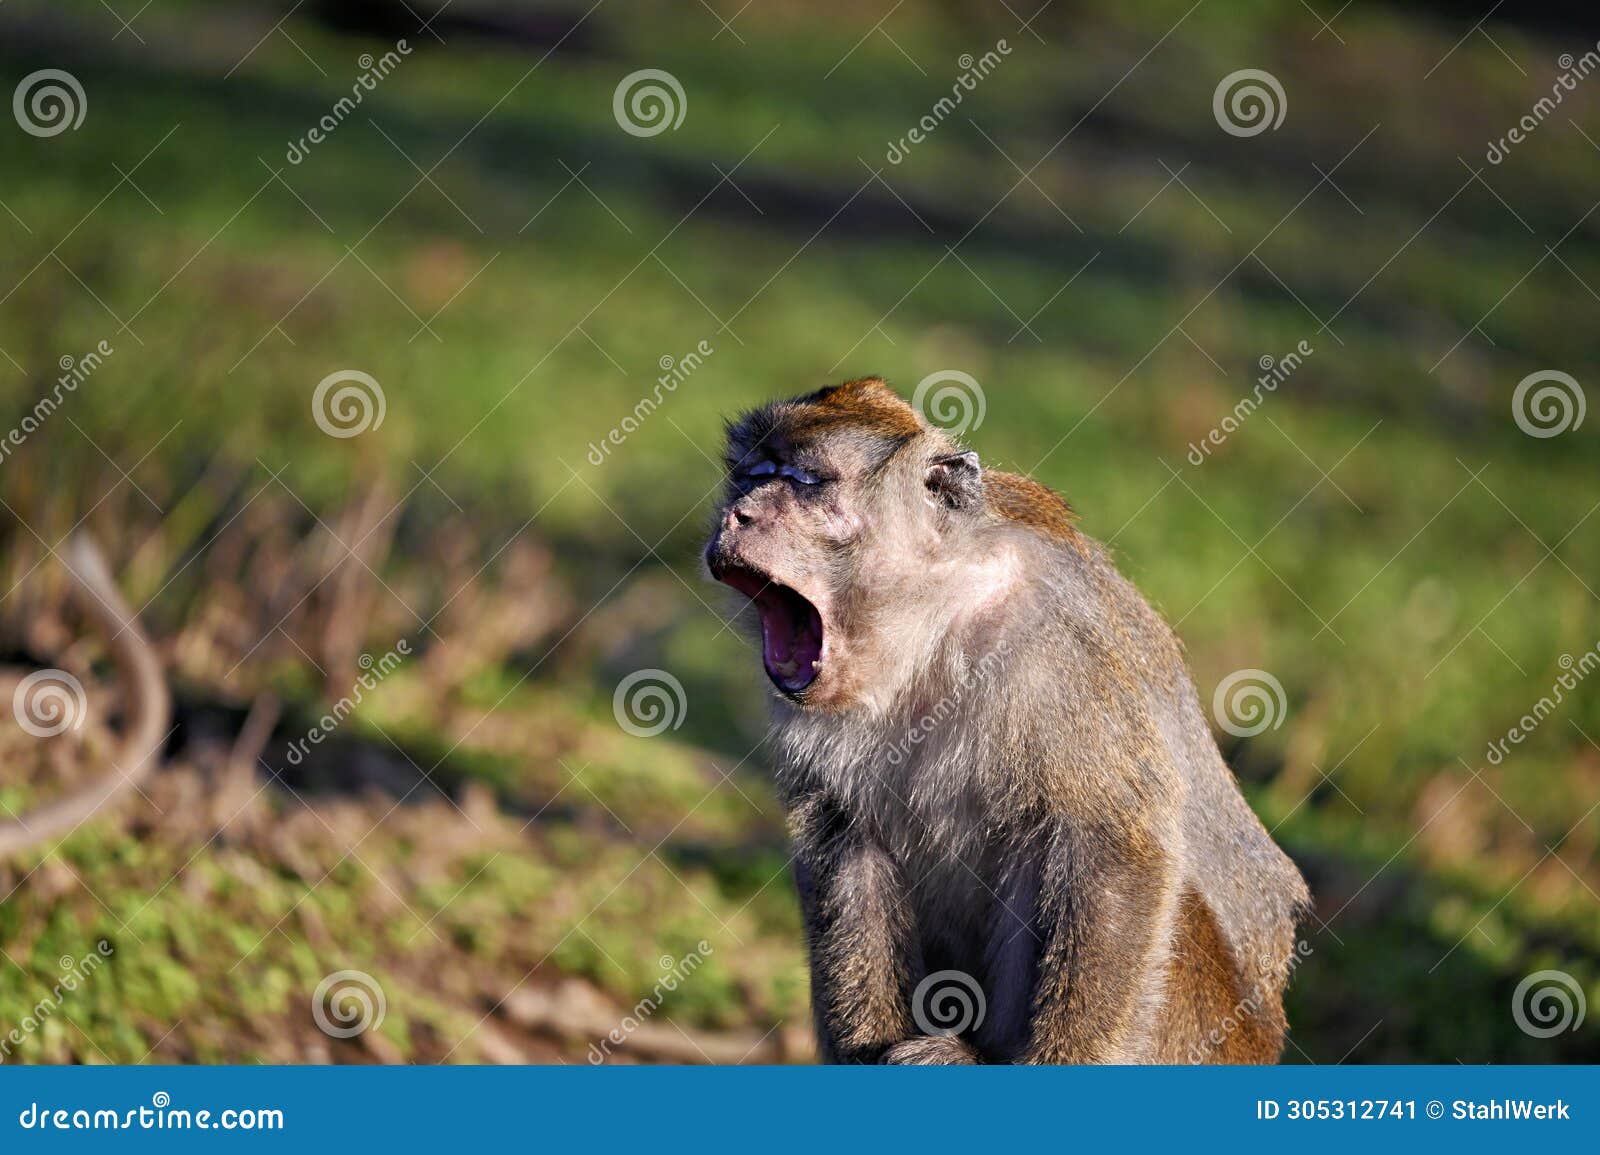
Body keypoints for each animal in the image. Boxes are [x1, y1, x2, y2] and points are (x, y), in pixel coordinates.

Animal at [704, 377, 1309, 1064]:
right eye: (753, 476)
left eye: (805, 482)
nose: (738, 515)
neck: (931, 620)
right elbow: (844, 837)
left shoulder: (1056, 646)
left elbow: (1112, 843)